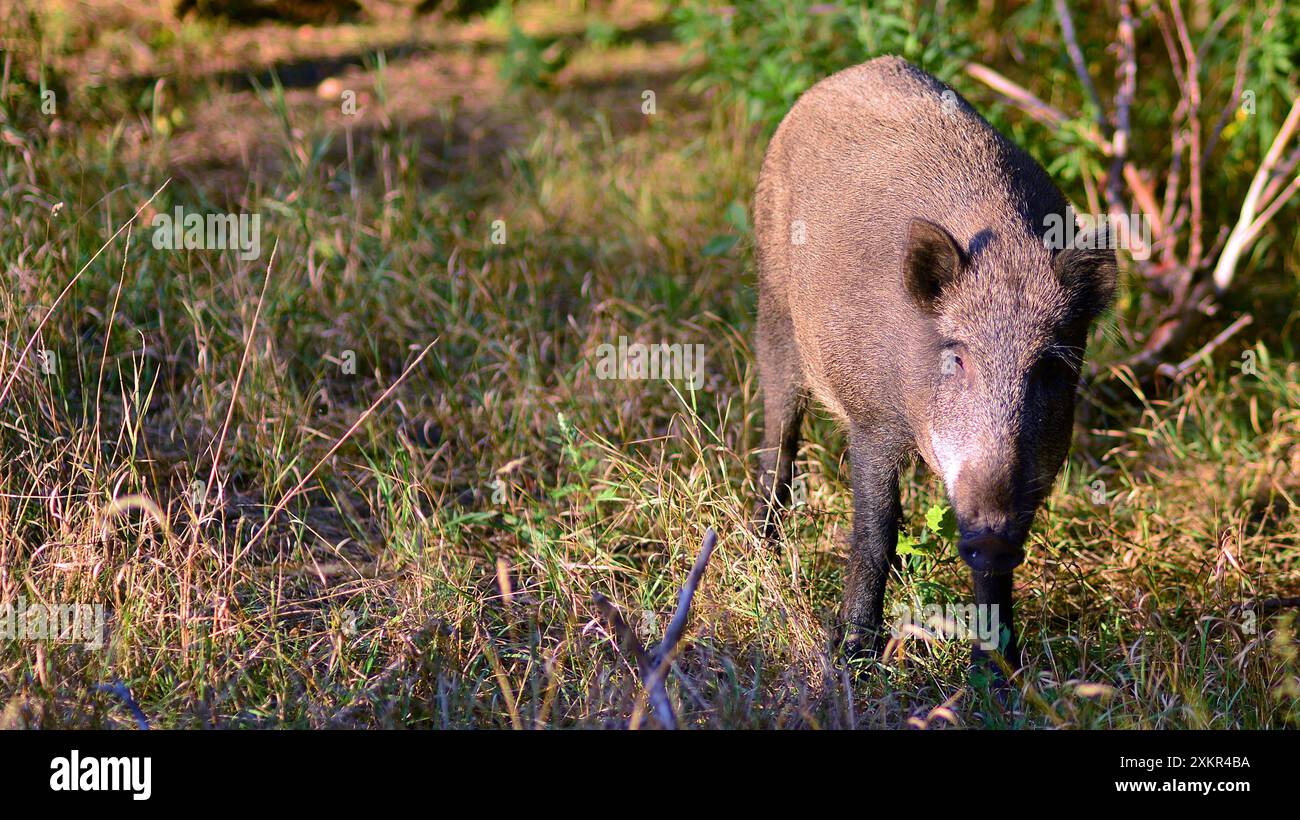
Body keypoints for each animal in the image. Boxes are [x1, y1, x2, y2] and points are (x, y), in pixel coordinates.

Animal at [753, 56, 1115, 670]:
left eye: (1048, 366)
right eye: (957, 357)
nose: (990, 531)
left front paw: (1000, 675)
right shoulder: (871, 417)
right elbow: (875, 530)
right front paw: (850, 656)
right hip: (774, 307)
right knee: (779, 434)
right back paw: (763, 548)